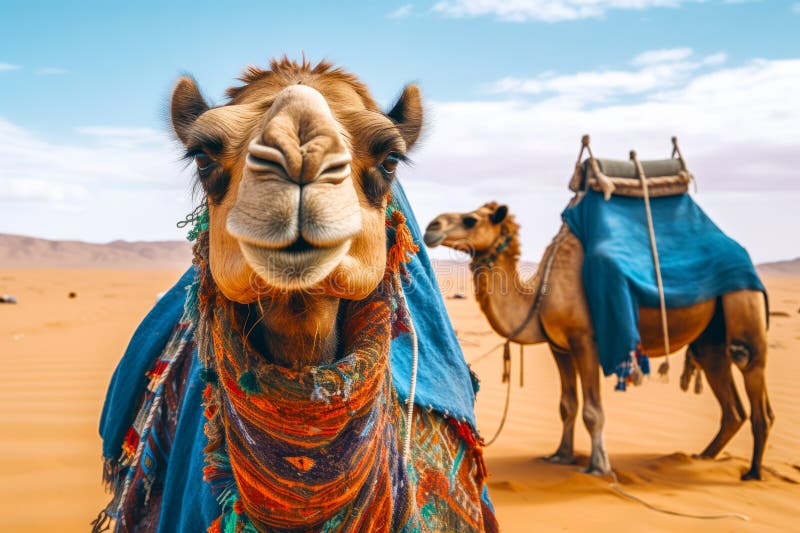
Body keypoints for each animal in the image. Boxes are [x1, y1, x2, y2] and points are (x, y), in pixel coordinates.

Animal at [424, 201, 772, 480]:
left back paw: (752, 472)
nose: (431, 227)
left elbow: (593, 410)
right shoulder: (559, 347)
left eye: (470, 220)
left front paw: (598, 466)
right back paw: (701, 458)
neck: (540, 295)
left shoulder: (585, 341)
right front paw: (560, 455)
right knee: (729, 399)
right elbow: (567, 405)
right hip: (711, 337)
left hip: (743, 299)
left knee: (750, 371)